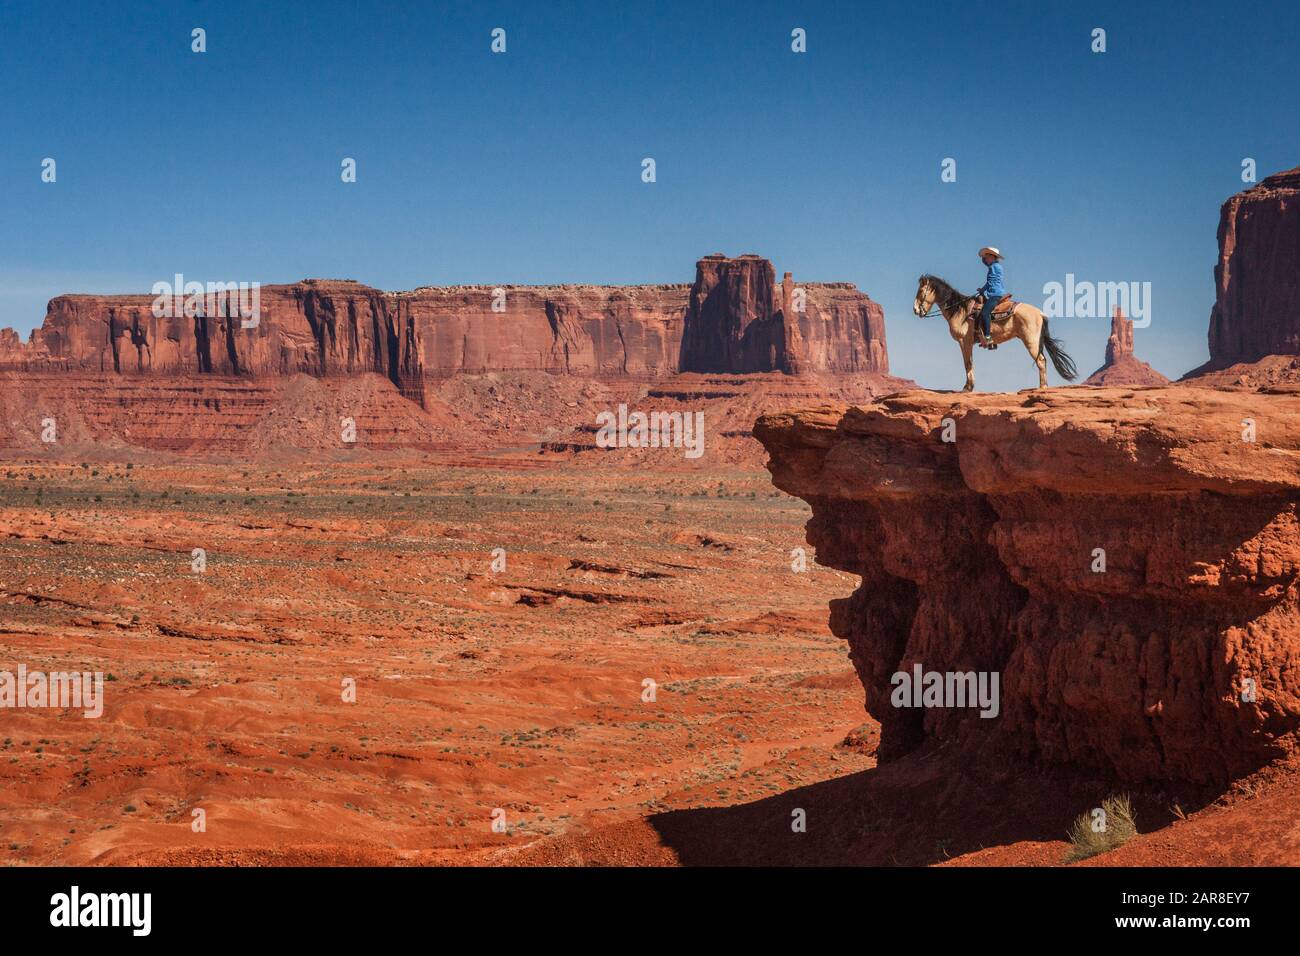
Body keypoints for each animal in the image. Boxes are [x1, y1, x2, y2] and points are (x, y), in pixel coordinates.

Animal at [912, 274, 1077, 392]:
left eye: (920, 291)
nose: (915, 309)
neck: (960, 310)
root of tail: (1041, 313)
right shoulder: (967, 343)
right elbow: (969, 363)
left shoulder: (964, 341)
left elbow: (967, 363)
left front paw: (967, 388)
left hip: (1031, 341)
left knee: (1041, 361)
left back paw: (1042, 387)